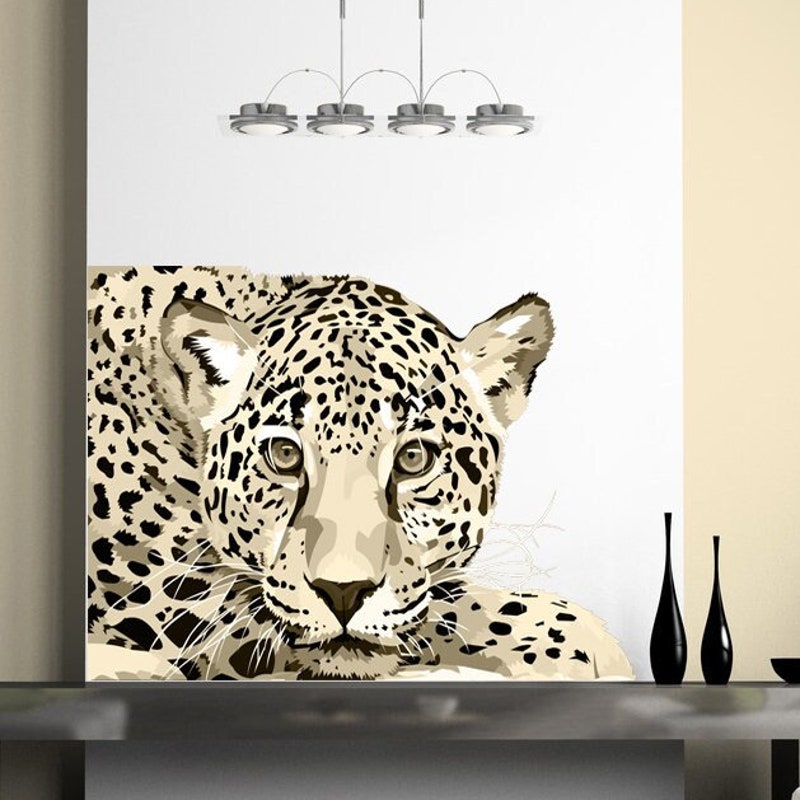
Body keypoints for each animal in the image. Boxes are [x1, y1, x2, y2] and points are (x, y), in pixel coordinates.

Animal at [87, 265, 633, 680]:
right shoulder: (159, 592)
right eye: (283, 454)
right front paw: (585, 642)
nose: (343, 593)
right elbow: (452, 609)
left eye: (414, 459)